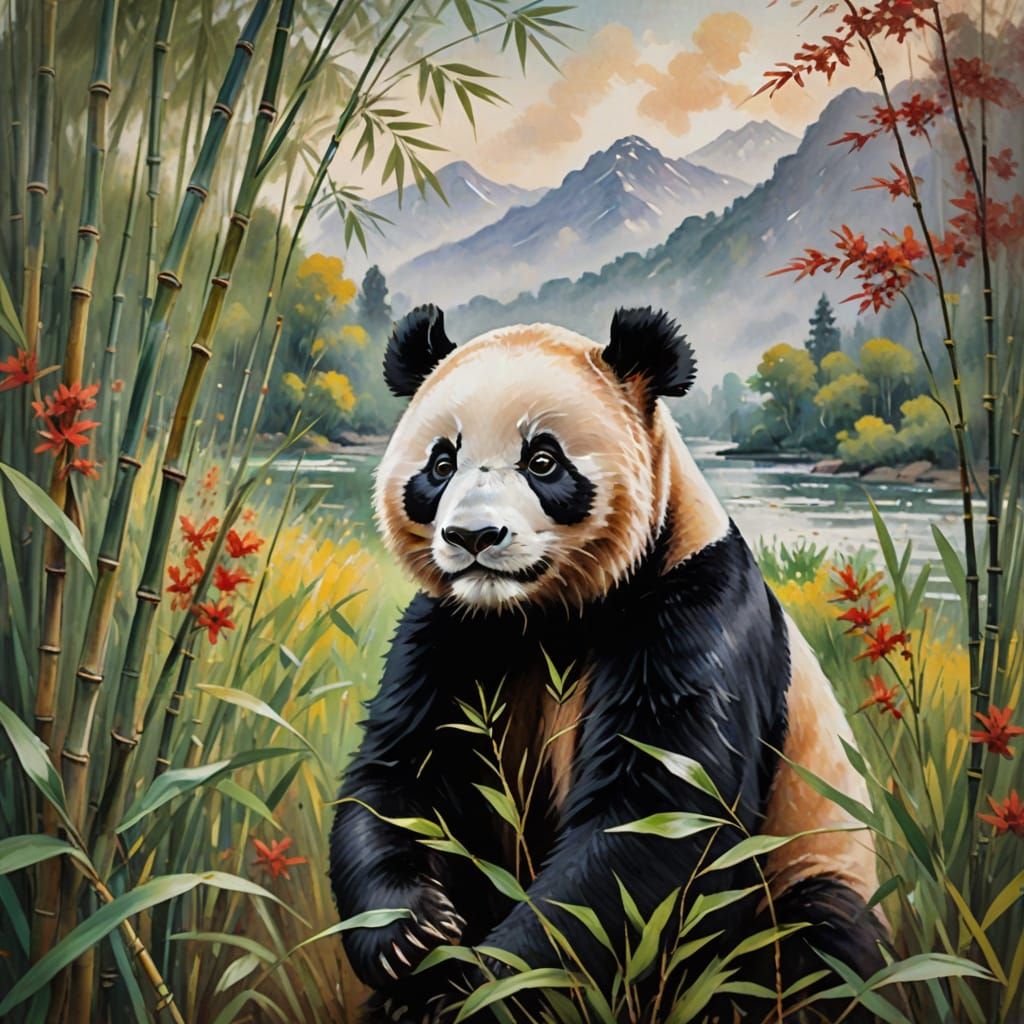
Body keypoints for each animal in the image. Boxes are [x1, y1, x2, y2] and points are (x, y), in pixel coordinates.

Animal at [329, 306, 888, 1023]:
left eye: (543, 460)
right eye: (442, 462)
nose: (473, 537)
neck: (546, 615)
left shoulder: (696, 611)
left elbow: (652, 821)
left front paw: (480, 986)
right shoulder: (454, 631)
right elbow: (402, 774)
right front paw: (411, 937)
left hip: (811, 856)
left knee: (820, 947)